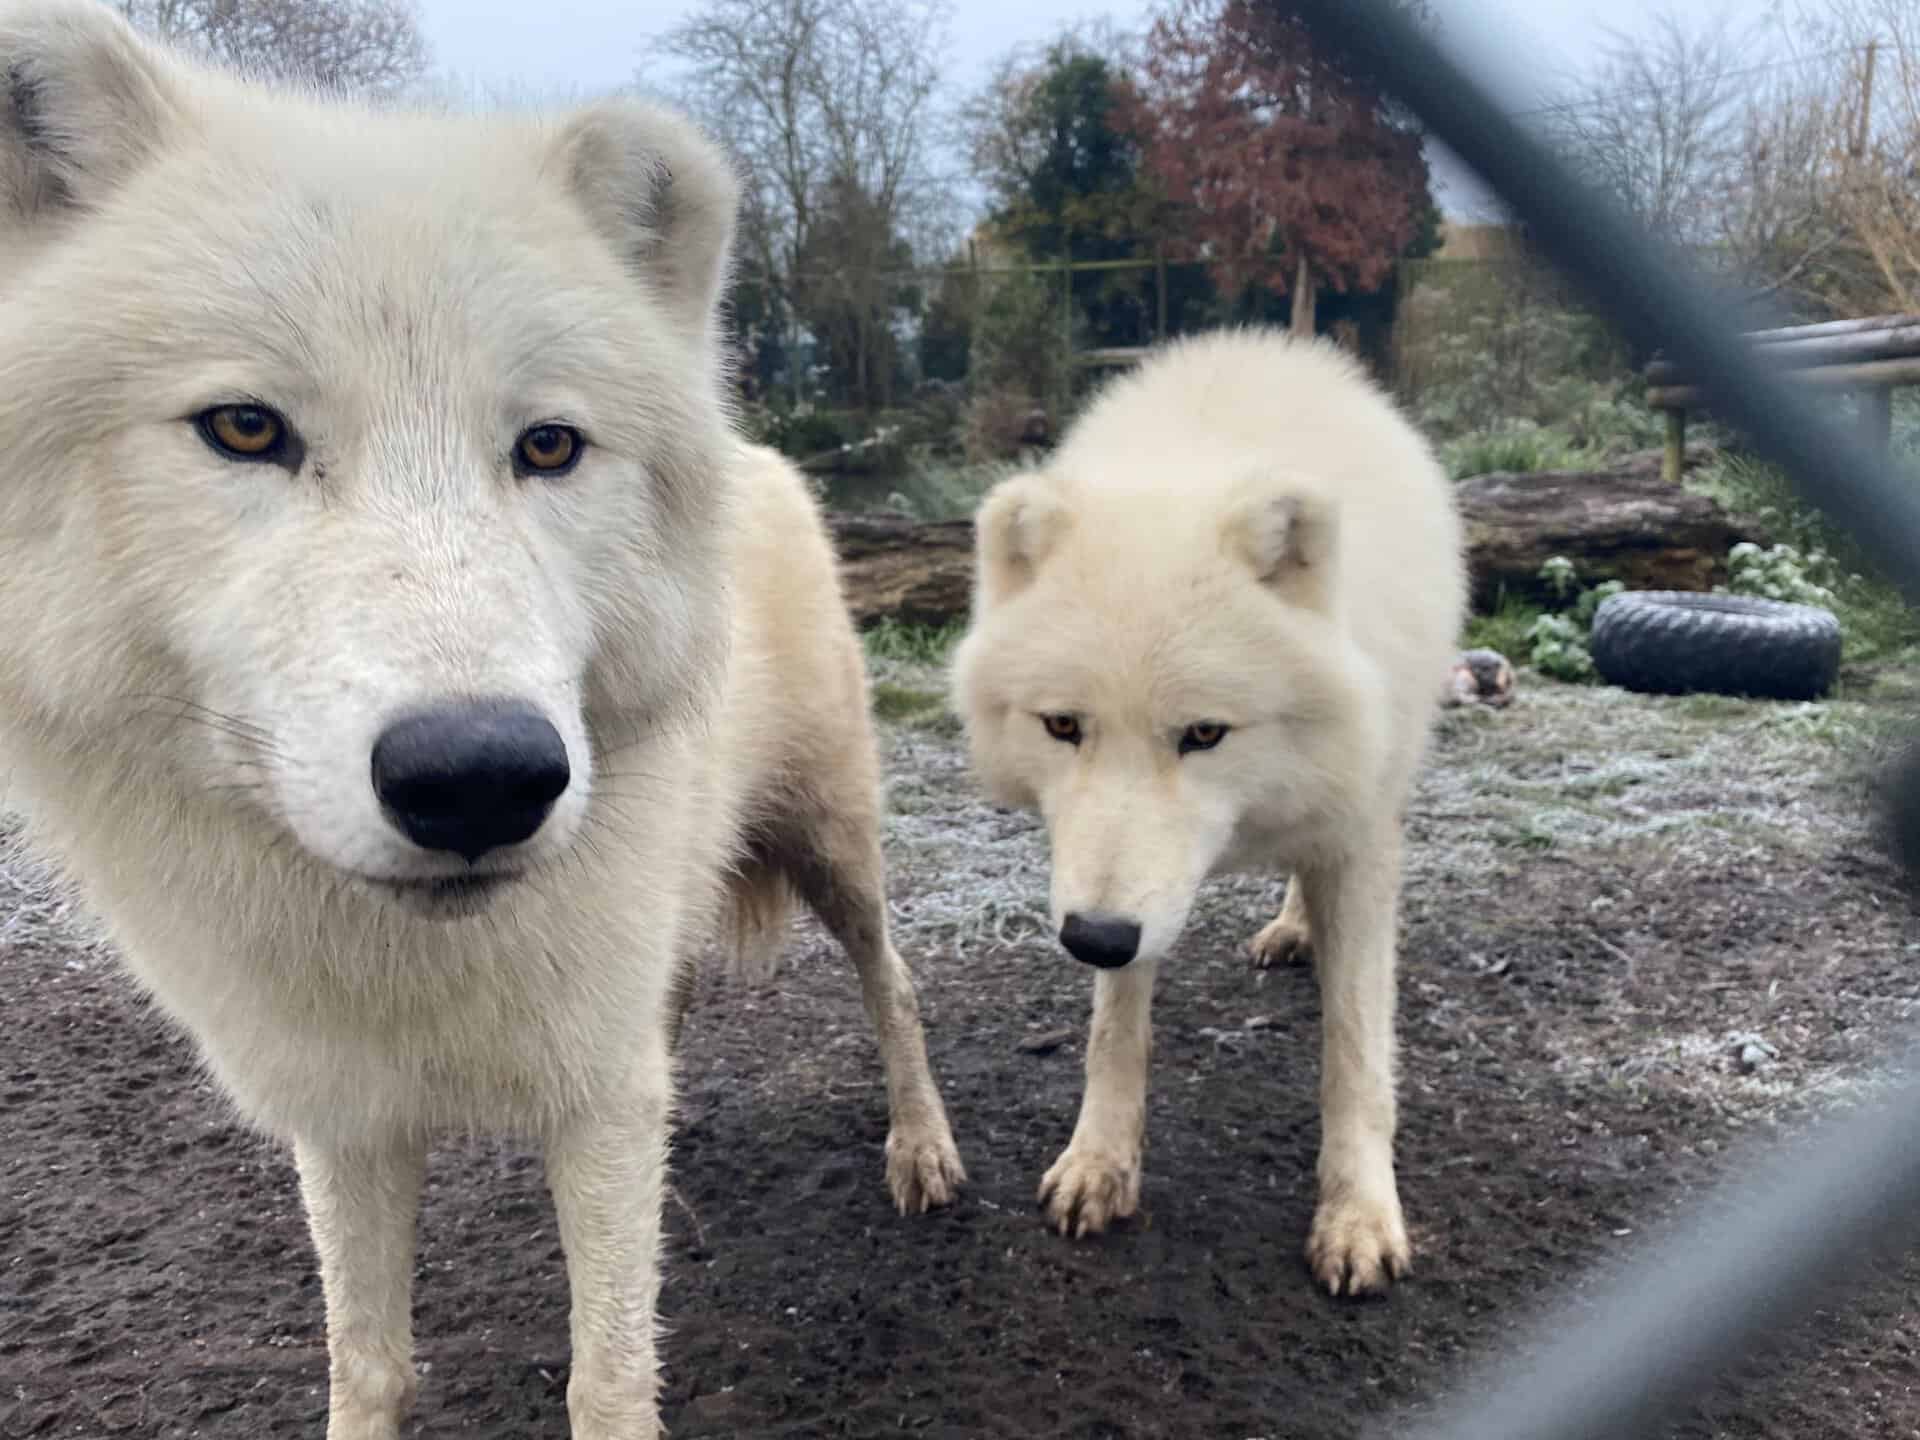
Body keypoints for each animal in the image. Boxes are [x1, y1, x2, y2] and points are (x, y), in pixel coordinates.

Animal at [0, 4, 963, 1436]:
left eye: (550, 447)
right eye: (244, 427)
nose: (480, 778)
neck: (413, 971)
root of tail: (766, 455)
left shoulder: (595, 1095)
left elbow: (607, 1376)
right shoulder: (347, 1122)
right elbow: (367, 1361)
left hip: (832, 846)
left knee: (891, 983)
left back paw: (923, 1148)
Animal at [948, 327, 1466, 1296]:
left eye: (1204, 734)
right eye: (1063, 725)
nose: (1092, 940)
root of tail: (1273, 348)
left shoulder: (1358, 841)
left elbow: (1356, 1051)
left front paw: (1358, 1213)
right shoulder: (1121, 890)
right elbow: (1114, 1032)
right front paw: (1099, 1162)